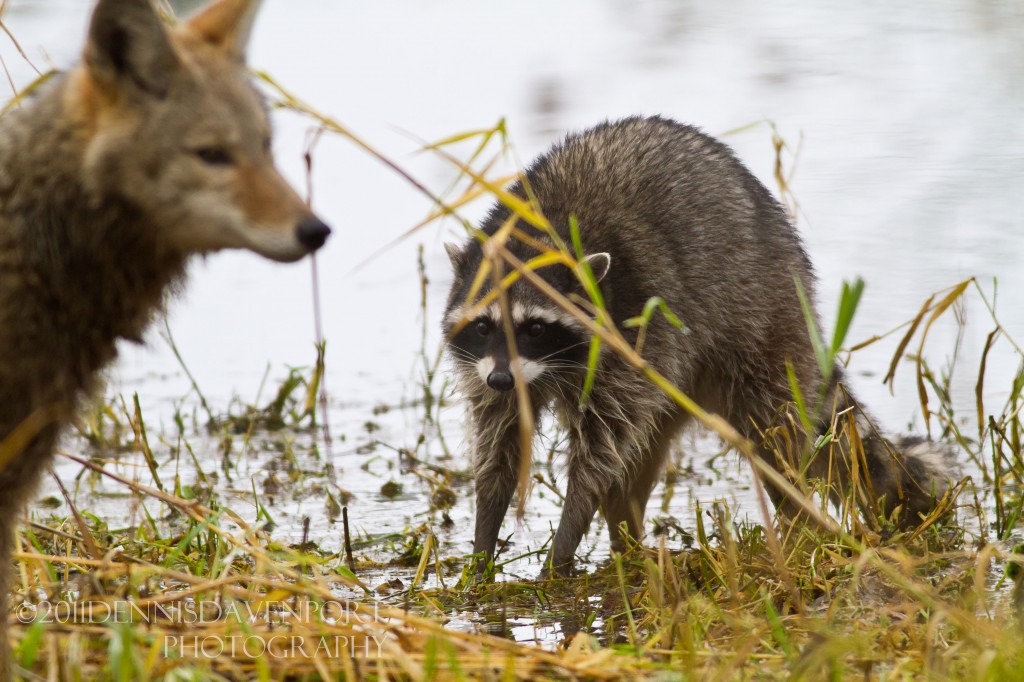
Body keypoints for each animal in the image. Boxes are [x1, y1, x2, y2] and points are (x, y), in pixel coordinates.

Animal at [442, 116, 952, 576]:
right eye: (484, 326)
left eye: (534, 329)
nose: (502, 378)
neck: (536, 234)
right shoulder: (489, 371)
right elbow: (498, 446)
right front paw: (484, 540)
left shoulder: (633, 339)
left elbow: (598, 456)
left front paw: (565, 540)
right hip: (679, 382)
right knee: (645, 453)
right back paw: (627, 535)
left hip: (762, 322)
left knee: (773, 434)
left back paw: (793, 520)